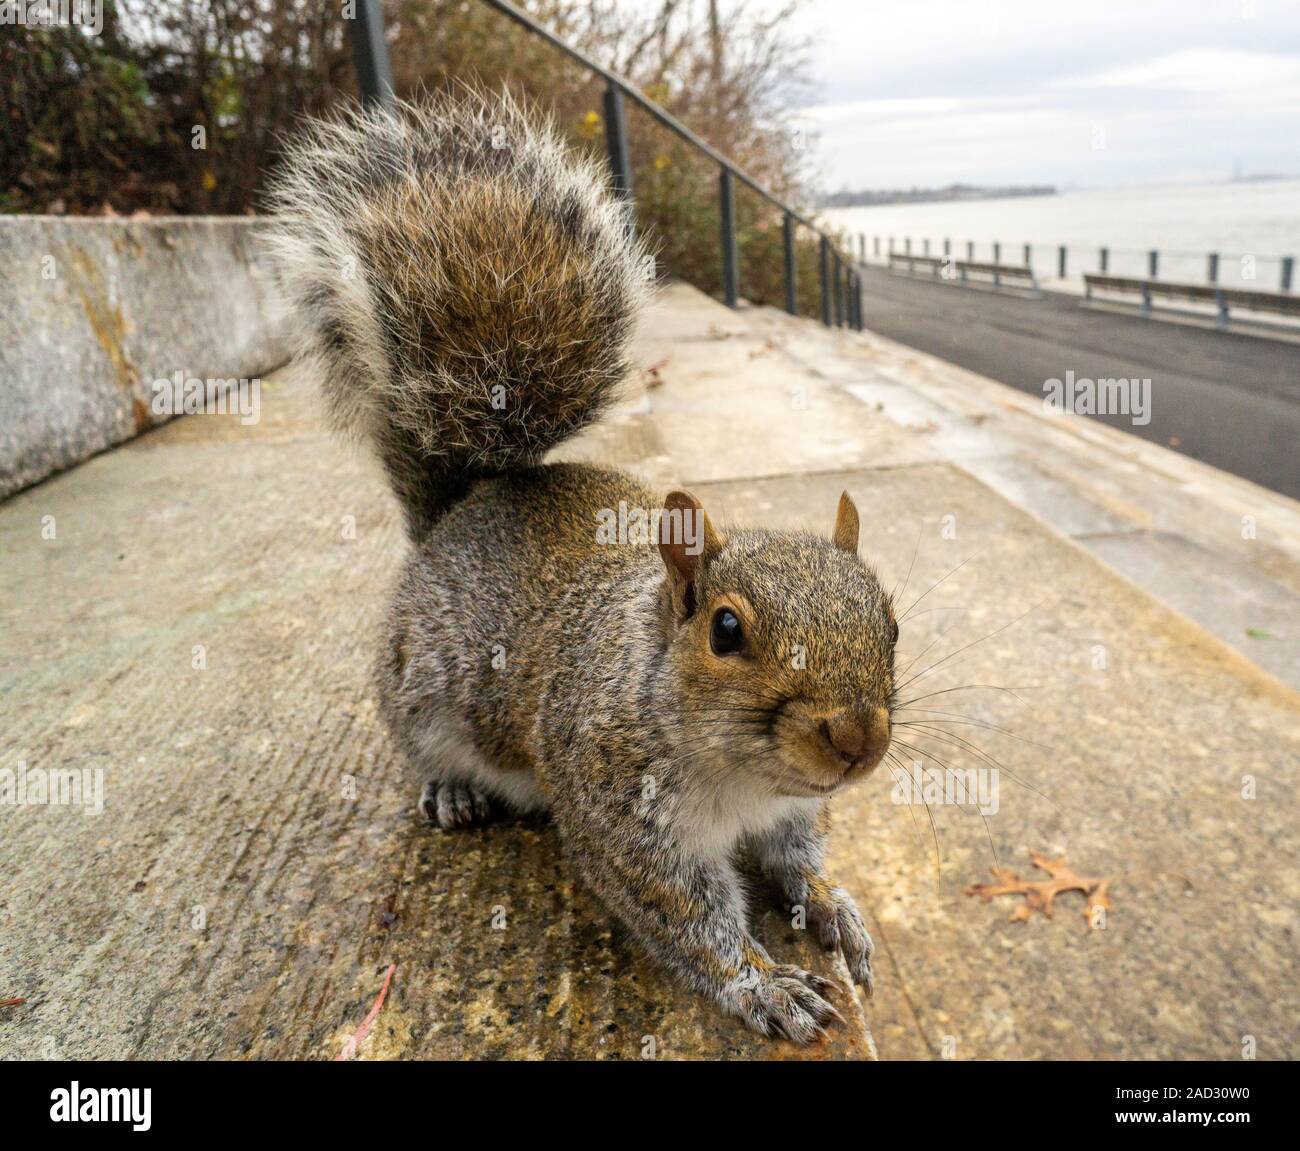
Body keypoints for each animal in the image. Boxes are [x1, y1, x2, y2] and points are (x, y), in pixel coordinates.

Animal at [266, 90, 898, 1043]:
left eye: (891, 620)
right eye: (725, 629)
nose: (858, 739)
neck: (742, 778)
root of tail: (461, 509)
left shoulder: (787, 814)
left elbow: (800, 861)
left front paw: (835, 907)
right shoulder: (623, 824)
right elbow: (688, 918)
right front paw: (763, 985)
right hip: (418, 690)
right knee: (422, 746)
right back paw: (451, 791)